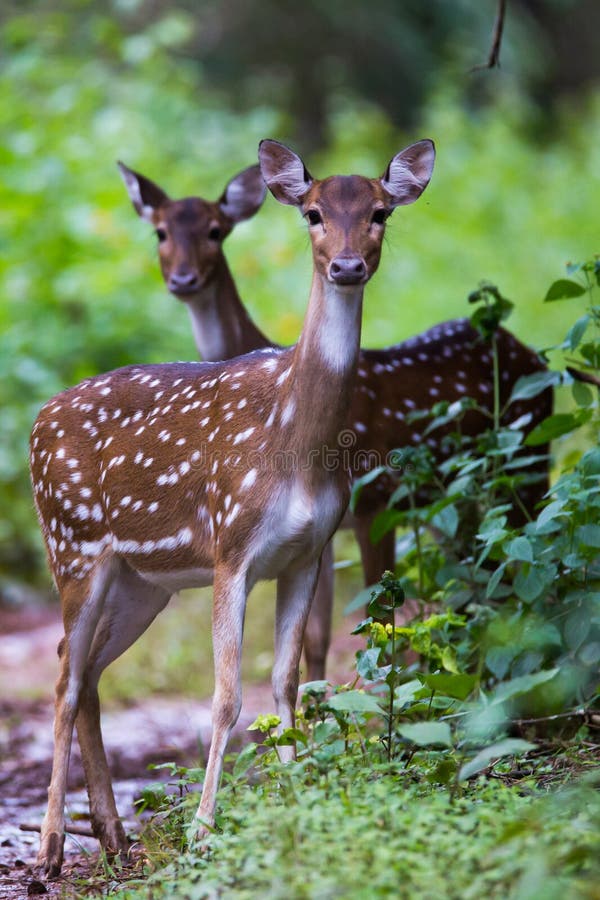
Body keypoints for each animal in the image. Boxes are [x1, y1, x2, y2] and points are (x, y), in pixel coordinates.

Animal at [31, 137, 437, 876]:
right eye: (312, 213)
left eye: (380, 212)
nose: (346, 265)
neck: (294, 445)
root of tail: (33, 425)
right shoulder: (231, 547)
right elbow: (226, 698)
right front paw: (203, 831)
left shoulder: (307, 553)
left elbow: (287, 682)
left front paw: (296, 797)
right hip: (72, 545)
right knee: (65, 680)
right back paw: (50, 848)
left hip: (142, 582)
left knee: (91, 674)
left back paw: (114, 837)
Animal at [118, 160, 552, 680]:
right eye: (160, 231)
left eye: (215, 231)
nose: (183, 280)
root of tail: (538, 357)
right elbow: (317, 637)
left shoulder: (376, 497)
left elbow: (377, 619)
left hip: (528, 456)